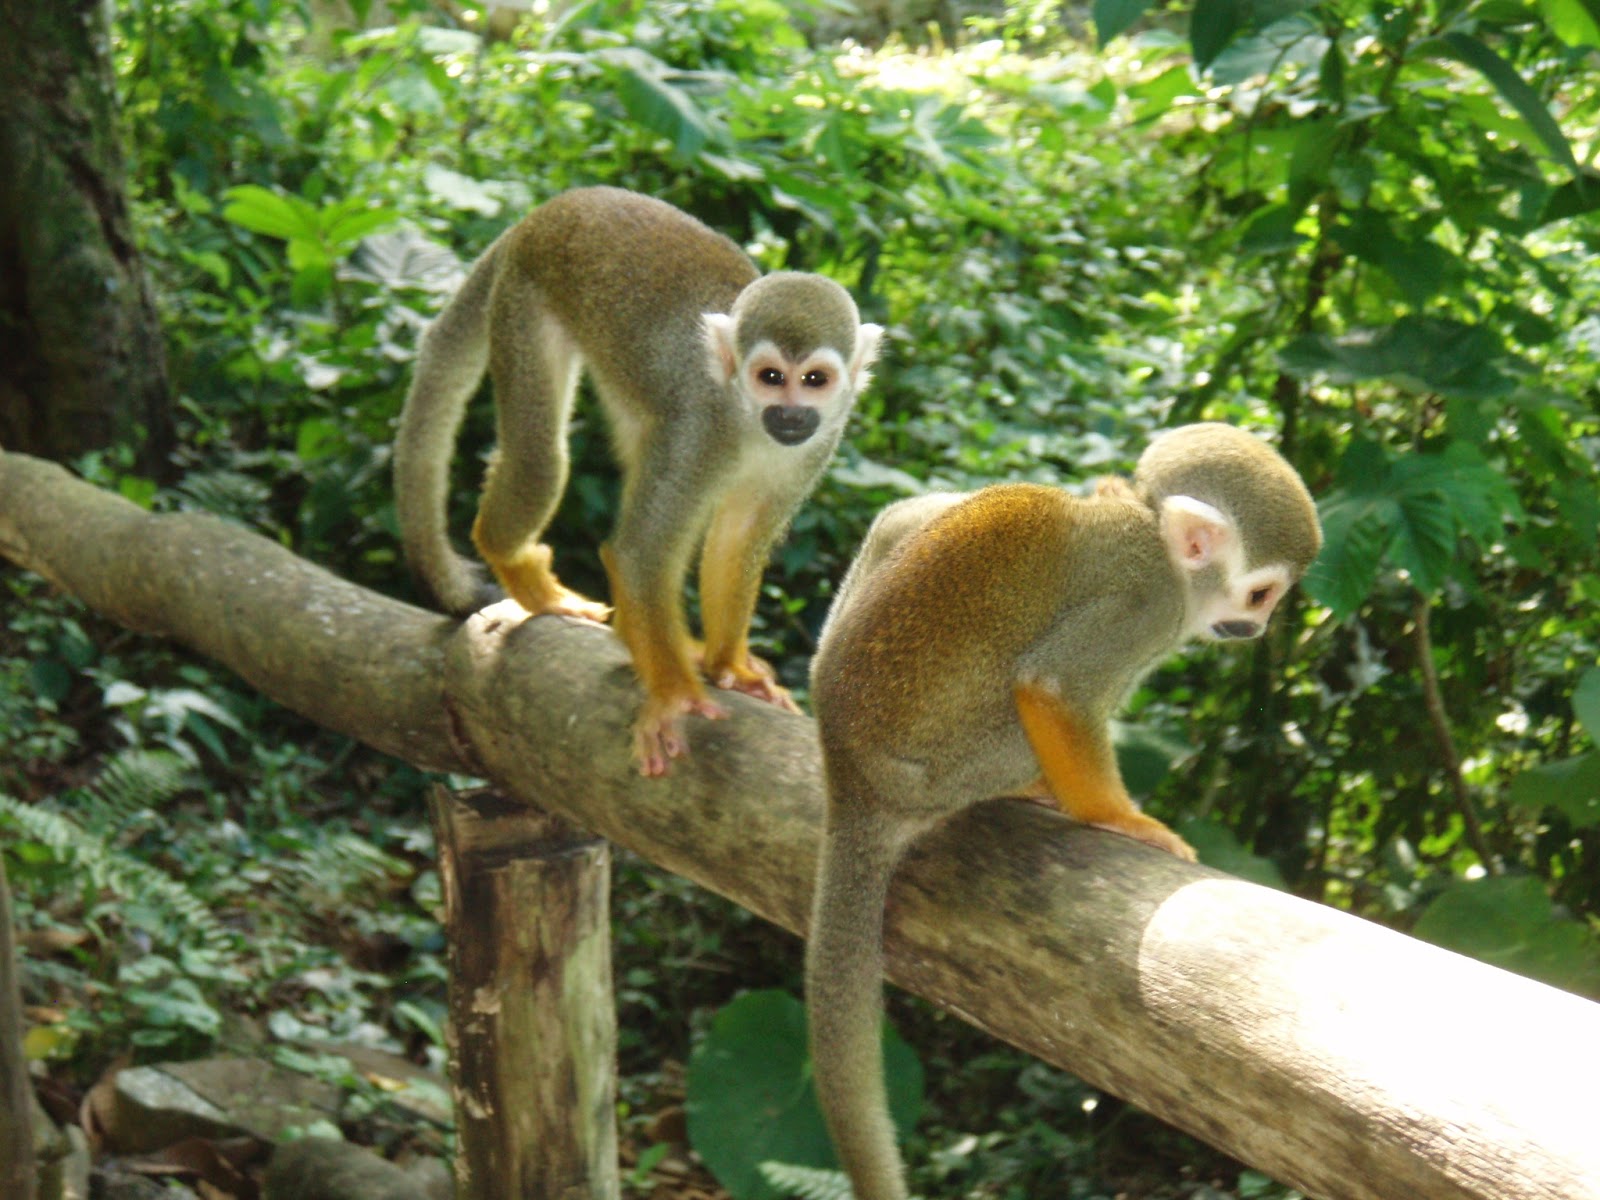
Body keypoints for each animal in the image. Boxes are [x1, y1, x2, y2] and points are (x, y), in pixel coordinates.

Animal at [393, 187, 882, 775]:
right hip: (523, 305)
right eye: (770, 377)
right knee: (542, 462)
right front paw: (675, 698)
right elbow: (641, 555)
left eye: (815, 380)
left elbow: (736, 538)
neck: (744, 419)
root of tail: (550, 211)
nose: (789, 415)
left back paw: (630, 631)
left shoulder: (818, 444)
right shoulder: (698, 426)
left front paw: (730, 668)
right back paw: (524, 574)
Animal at [804, 422, 1322, 1200]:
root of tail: (848, 769)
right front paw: (1121, 819)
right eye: (1260, 593)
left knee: (899, 519)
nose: (1256, 629)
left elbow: (905, 511)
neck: (1151, 530)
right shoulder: (1144, 604)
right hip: (950, 764)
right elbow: (1054, 686)